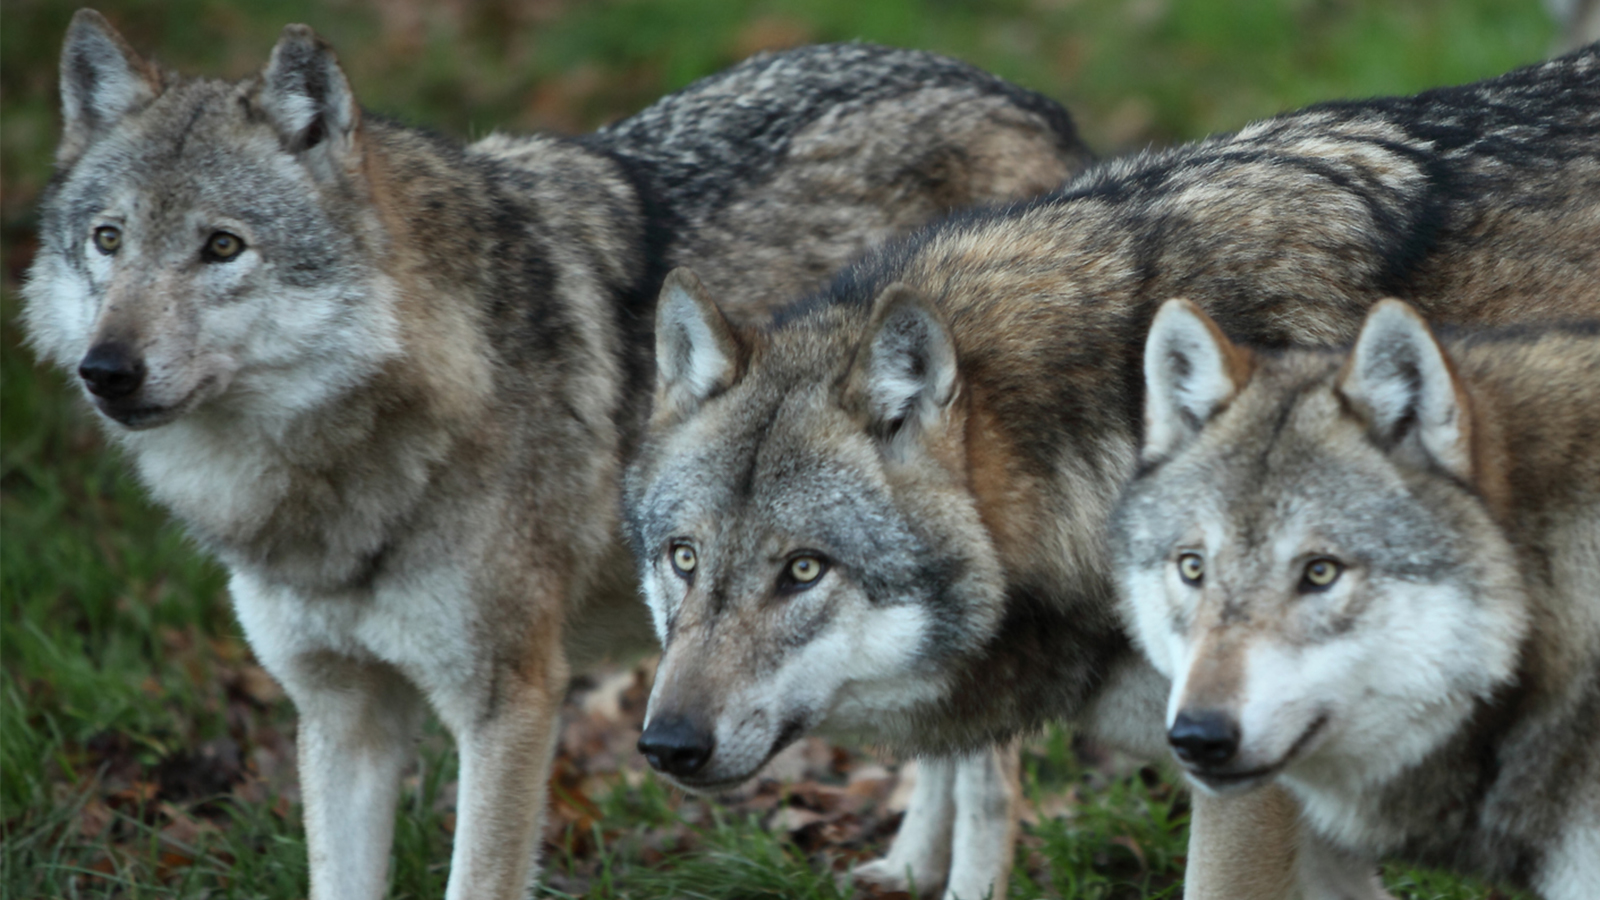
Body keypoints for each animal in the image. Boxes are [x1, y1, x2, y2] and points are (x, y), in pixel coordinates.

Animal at [20, 10, 1091, 899]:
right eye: (107, 240)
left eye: (222, 247)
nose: (106, 369)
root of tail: (1033, 103)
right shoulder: (339, 716)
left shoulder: (511, 707)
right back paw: (905, 869)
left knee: (992, 781)